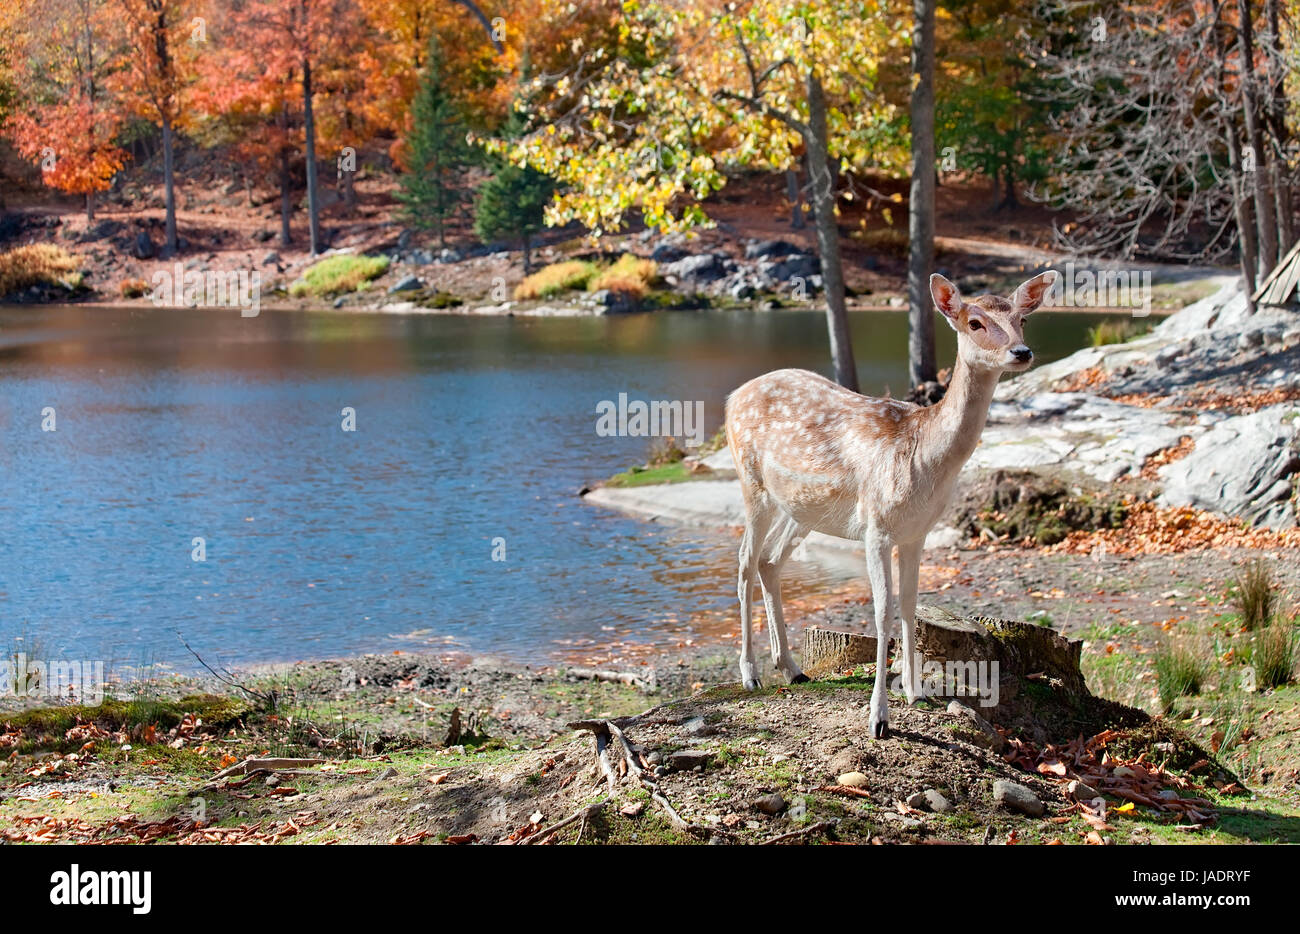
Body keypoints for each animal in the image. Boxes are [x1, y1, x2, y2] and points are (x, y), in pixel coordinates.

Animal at [724, 270, 1058, 738]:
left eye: (1022, 319)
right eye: (974, 322)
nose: (1022, 351)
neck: (925, 458)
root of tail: (732, 397)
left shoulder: (917, 532)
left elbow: (911, 606)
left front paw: (916, 692)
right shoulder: (877, 527)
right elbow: (882, 612)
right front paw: (878, 718)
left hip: (802, 508)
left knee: (770, 562)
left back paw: (791, 667)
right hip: (752, 483)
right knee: (744, 563)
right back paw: (750, 674)